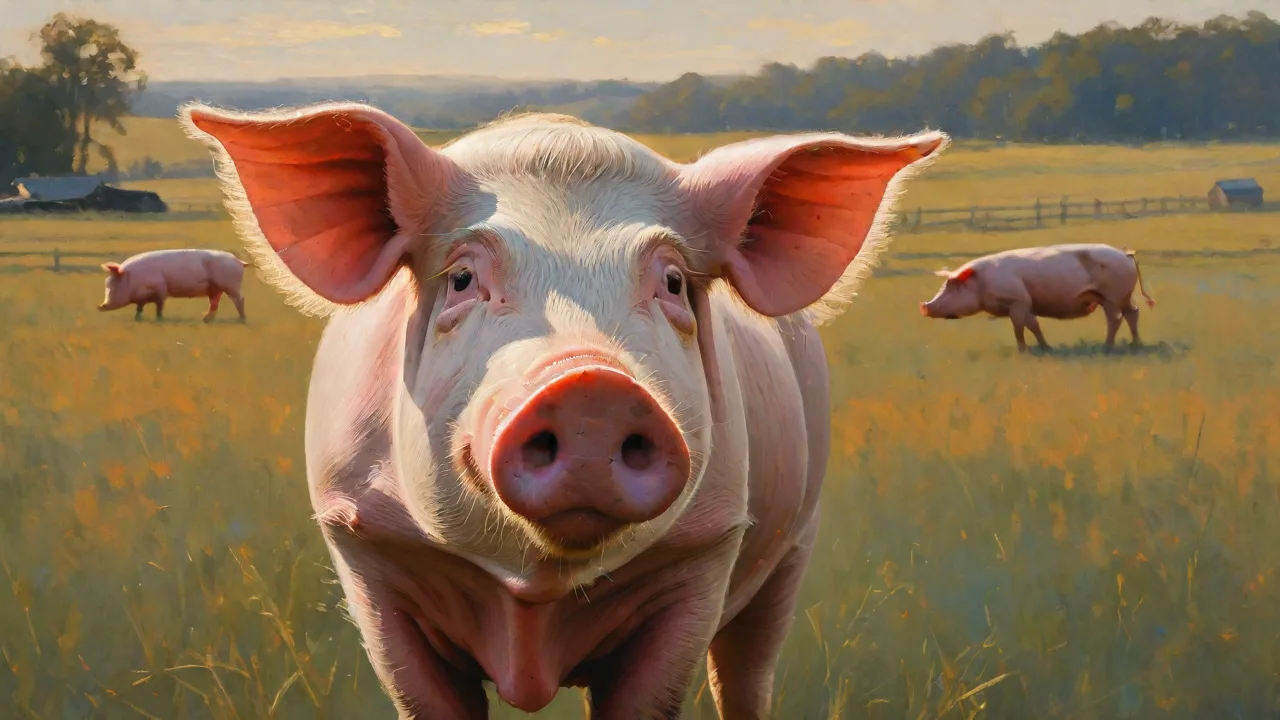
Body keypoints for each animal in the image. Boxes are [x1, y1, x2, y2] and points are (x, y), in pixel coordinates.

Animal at [98, 248, 250, 322]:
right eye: (107, 283)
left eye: (113, 285)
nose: (100, 306)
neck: (131, 278)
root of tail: (239, 261)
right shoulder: (141, 298)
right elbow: (139, 308)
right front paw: (137, 319)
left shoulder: (160, 289)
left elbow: (159, 306)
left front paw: (160, 319)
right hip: (216, 289)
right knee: (214, 304)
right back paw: (205, 320)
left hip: (231, 286)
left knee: (240, 300)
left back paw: (242, 320)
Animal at [181, 100, 948, 719]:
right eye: (462, 277)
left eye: (674, 281)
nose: (591, 388)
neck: (532, 589)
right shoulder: (367, 551)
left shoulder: (703, 552)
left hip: (793, 545)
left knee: (746, 674)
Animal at [918, 243, 1156, 352]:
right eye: (945, 284)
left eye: (953, 286)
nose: (924, 306)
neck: (983, 282)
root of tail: (1126, 254)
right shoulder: (1026, 304)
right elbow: (1033, 324)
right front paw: (1045, 348)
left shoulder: (1017, 300)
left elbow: (1018, 327)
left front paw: (1023, 351)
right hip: (1123, 295)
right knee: (1133, 313)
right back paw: (1136, 344)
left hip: (1111, 295)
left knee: (1115, 319)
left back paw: (1107, 347)